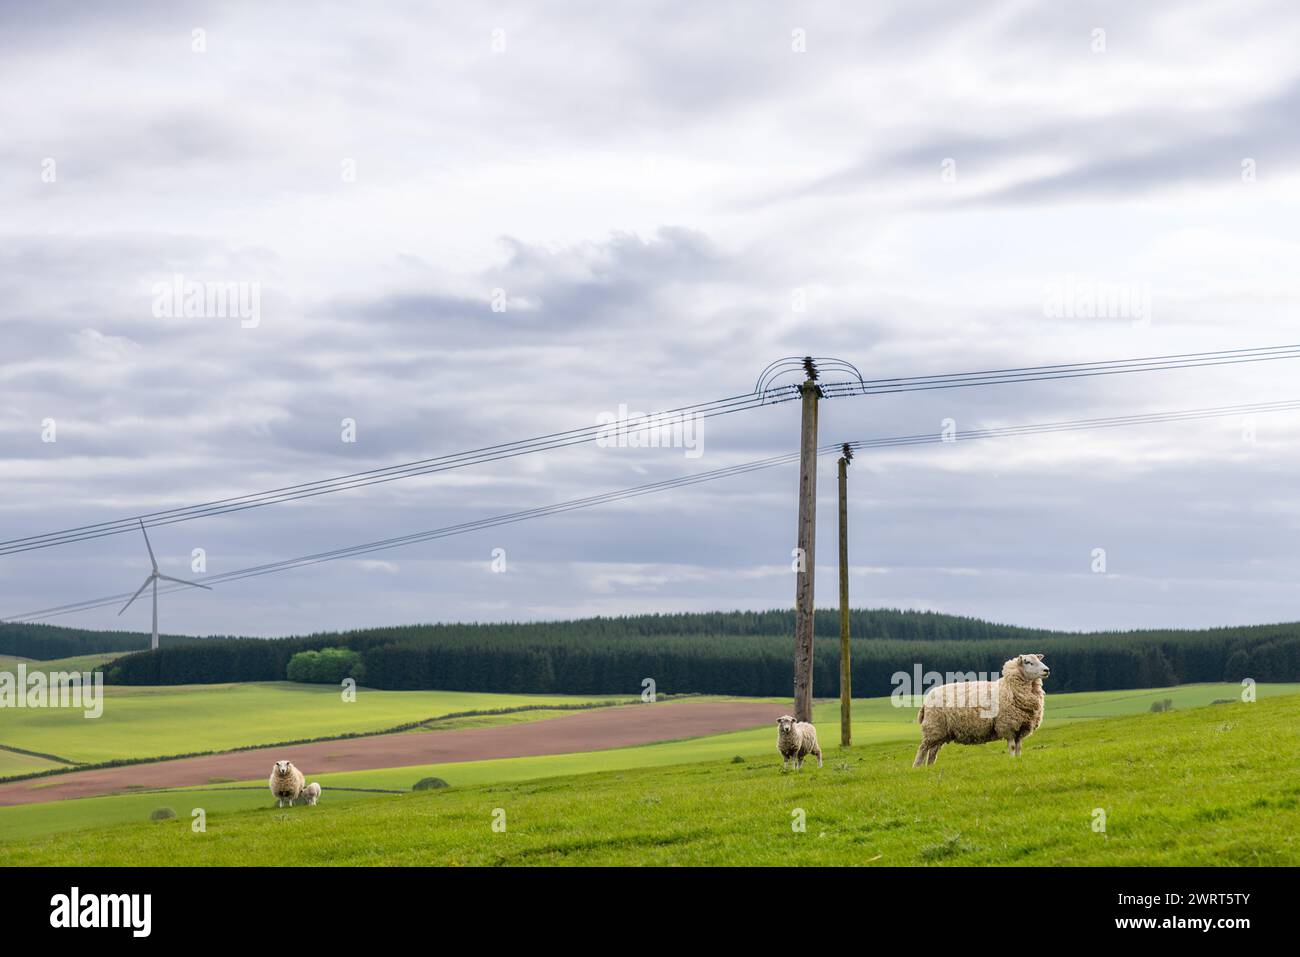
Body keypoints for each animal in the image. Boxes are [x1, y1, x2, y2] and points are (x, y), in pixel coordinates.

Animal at [913, 654, 1049, 767]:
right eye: (1028, 662)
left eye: (1038, 660)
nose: (1046, 670)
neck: (1010, 688)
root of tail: (927, 699)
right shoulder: (1007, 726)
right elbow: (1011, 747)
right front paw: (1011, 761)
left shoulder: (1021, 727)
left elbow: (1019, 747)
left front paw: (1018, 760)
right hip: (933, 727)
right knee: (922, 749)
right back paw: (917, 768)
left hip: (940, 732)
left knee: (932, 751)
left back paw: (930, 768)